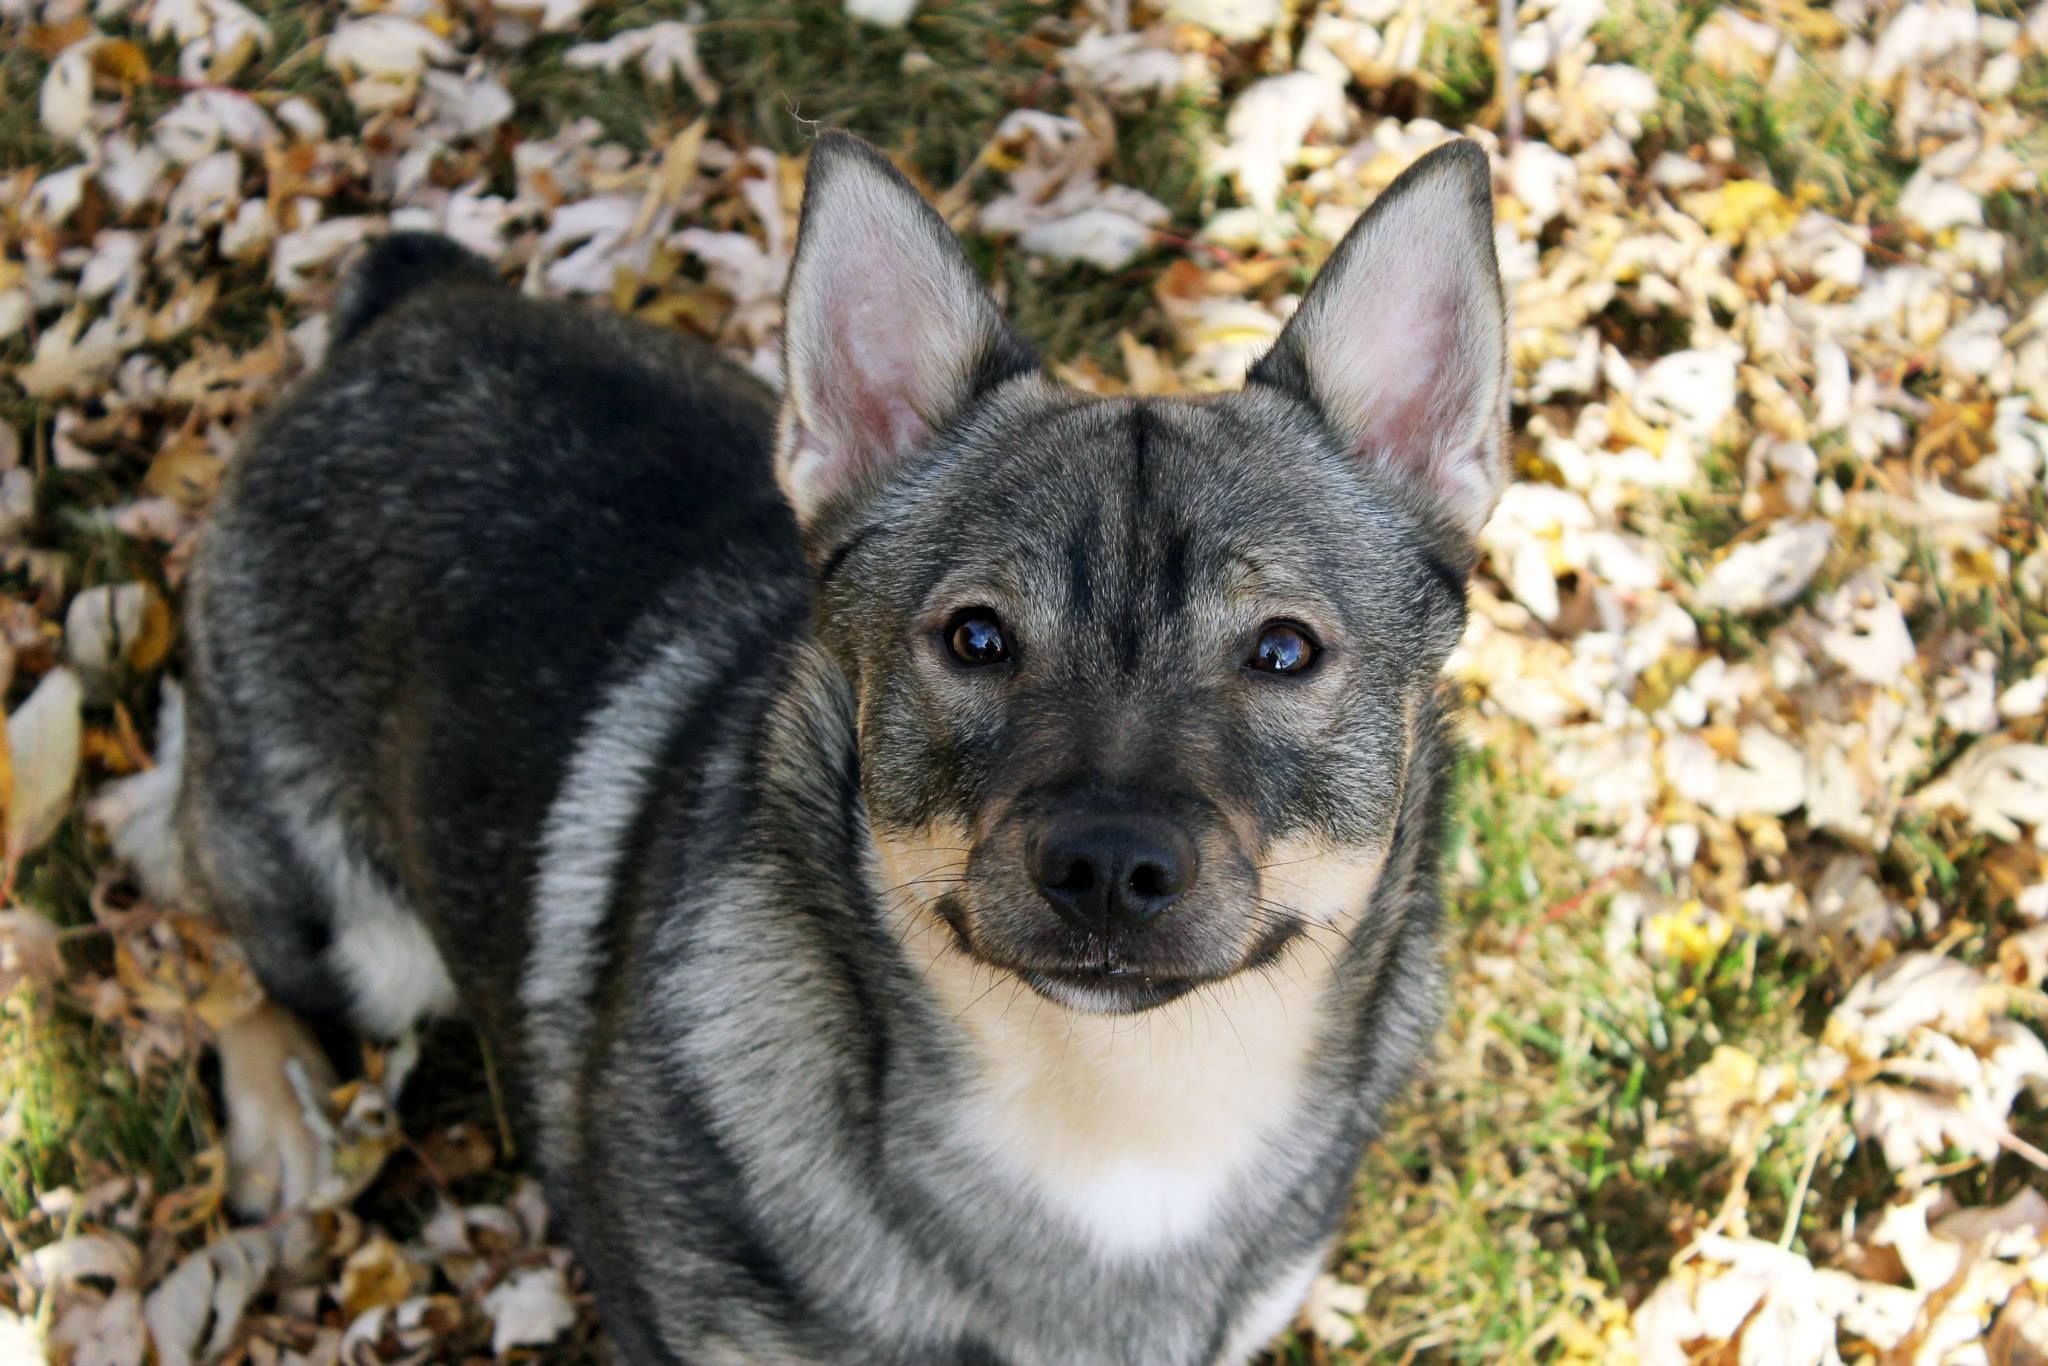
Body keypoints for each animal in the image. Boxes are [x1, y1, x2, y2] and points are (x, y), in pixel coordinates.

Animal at [176, 131, 1515, 1366]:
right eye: (974, 636)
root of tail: (411, 302)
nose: (1107, 867)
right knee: (200, 917)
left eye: (1282, 649)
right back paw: (281, 1119)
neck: (1114, 1124)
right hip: (356, 940)